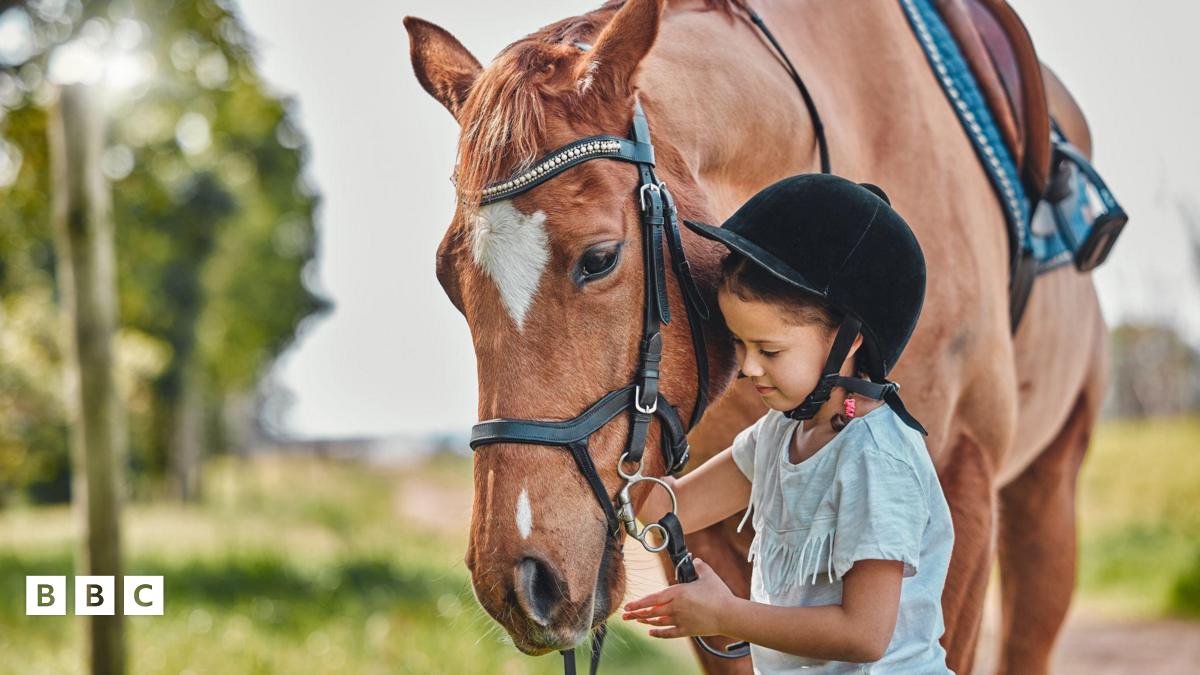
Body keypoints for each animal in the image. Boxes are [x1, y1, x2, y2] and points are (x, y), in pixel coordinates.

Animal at [404, 0, 1107, 672]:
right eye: (446, 277)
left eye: (599, 258)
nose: (519, 583)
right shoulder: (696, 522)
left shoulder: (962, 486)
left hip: (1045, 500)